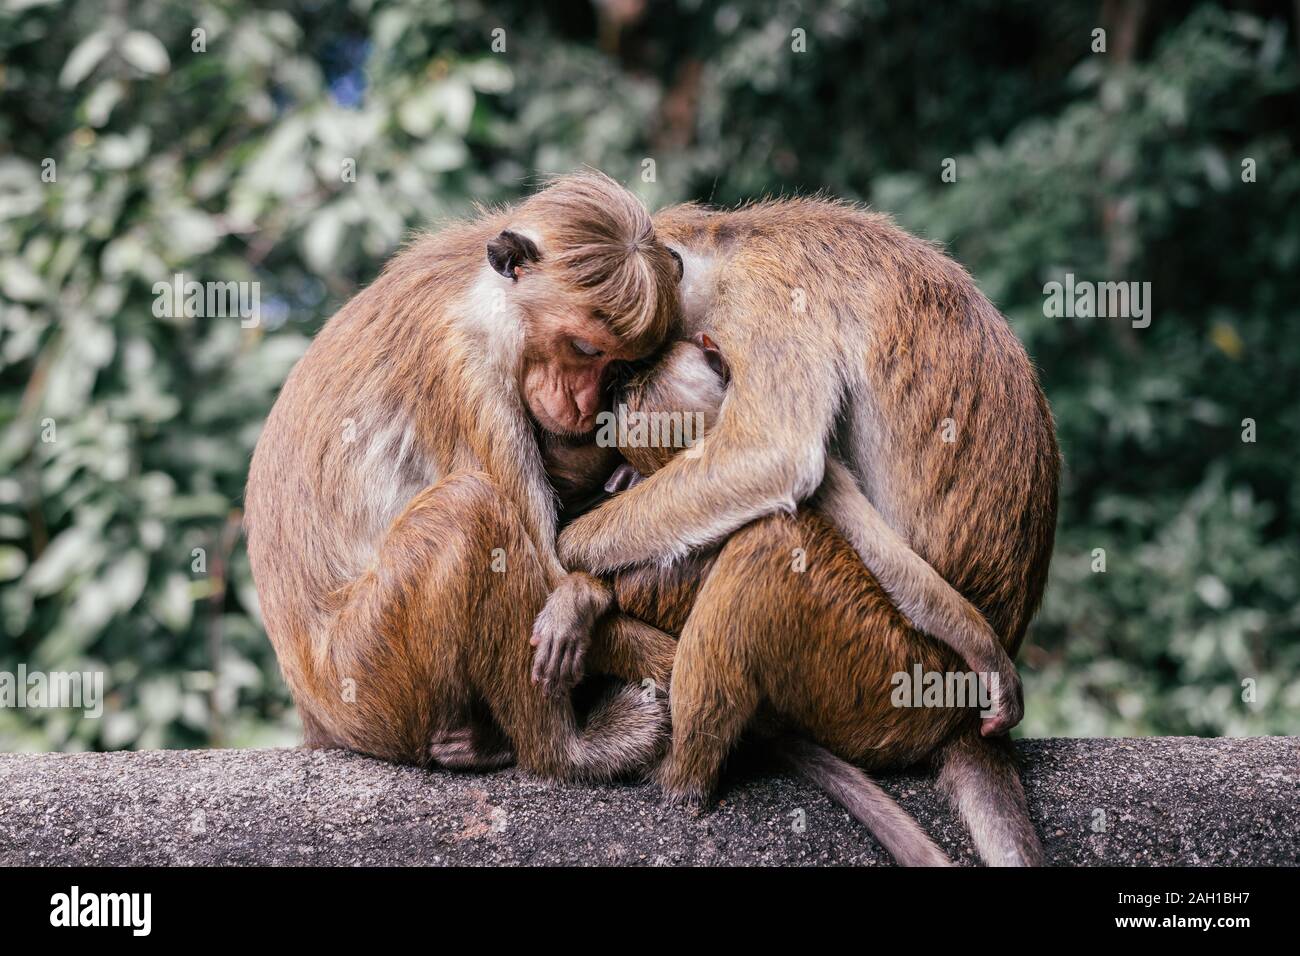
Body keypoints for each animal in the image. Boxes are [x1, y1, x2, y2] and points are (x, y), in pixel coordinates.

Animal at [243, 171, 686, 780]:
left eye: (619, 364)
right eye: (584, 348)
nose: (583, 405)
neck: (486, 301)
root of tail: (318, 717)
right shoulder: (467, 369)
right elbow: (548, 566)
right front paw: (585, 600)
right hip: (369, 681)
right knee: (468, 508)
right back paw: (565, 751)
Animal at [552, 198, 1061, 738]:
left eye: (621, 362)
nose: (608, 387)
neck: (728, 247)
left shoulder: (763, 302)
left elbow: (773, 452)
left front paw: (569, 552)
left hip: (893, 661)